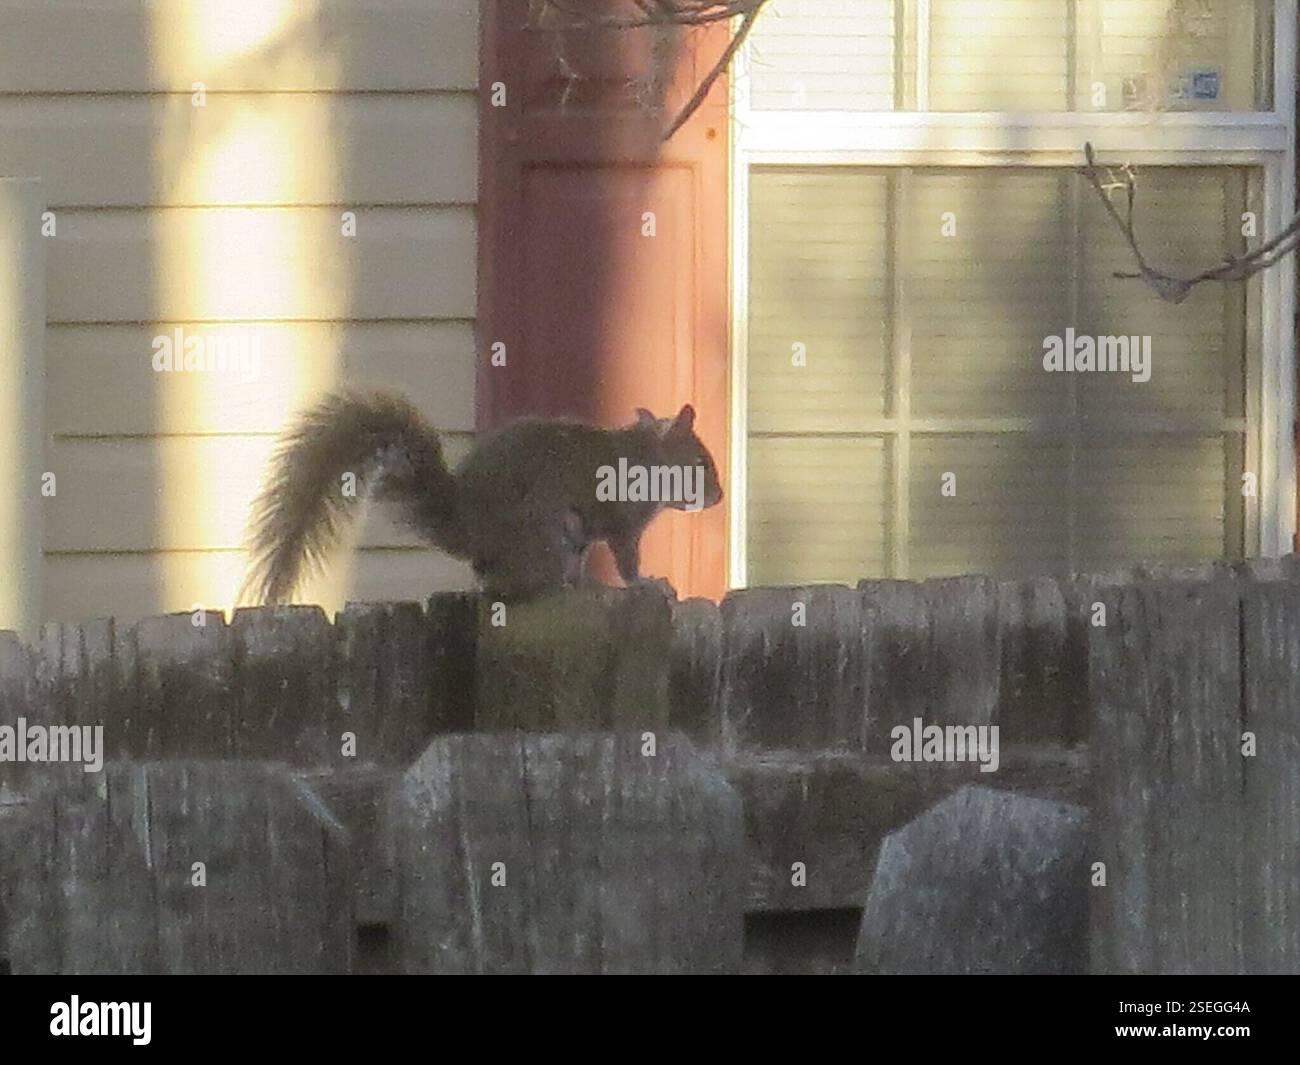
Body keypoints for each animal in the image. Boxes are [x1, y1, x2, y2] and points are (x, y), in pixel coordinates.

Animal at [240, 389, 723, 603]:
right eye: (700, 462)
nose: (718, 497)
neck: (643, 458)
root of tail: (468, 529)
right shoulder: (623, 521)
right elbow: (627, 560)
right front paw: (646, 583)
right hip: (544, 535)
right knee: (519, 585)